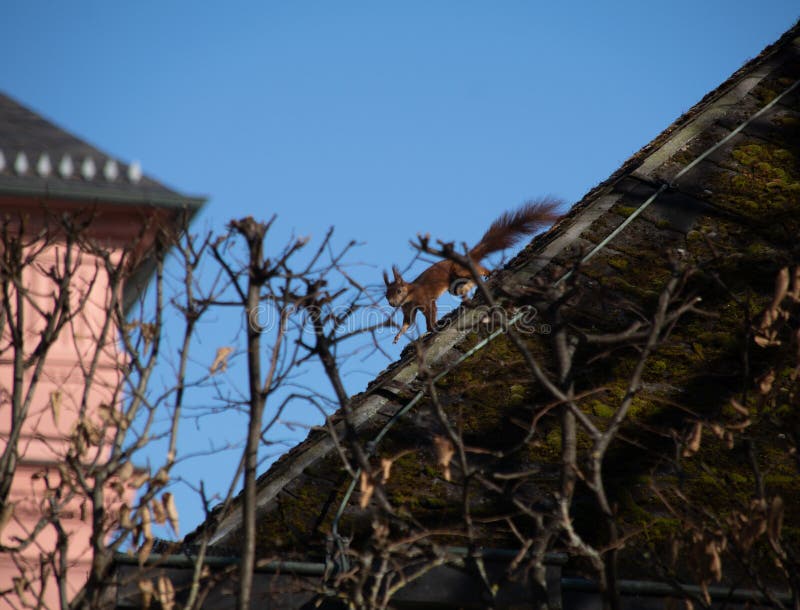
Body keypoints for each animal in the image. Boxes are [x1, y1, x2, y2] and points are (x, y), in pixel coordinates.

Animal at [384, 198, 560, 343]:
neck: (409, 296)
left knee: (478, 271)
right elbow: (408, 323)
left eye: (399, 290)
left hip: (460, 270)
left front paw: (431, 329)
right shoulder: (408, 310)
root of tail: (466, 258)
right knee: (468, 283)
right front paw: (398, 336)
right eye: (386, 295)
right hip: (454, 285)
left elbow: (430, 314)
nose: (392, 303)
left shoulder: (425, 299)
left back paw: (490, 273)